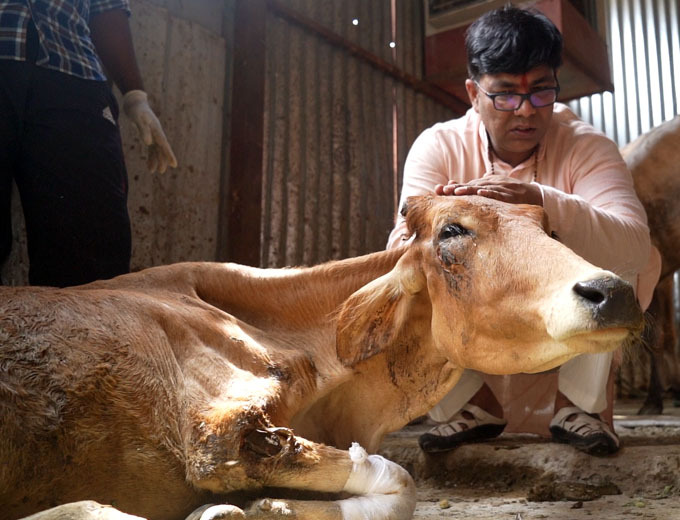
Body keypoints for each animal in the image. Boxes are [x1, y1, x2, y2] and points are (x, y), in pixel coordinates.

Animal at [1, 195, 643, 520]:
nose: (613, 291)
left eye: (550, 229)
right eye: (453, 230)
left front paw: (259, 508)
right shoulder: (219, 434)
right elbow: (402, 480)